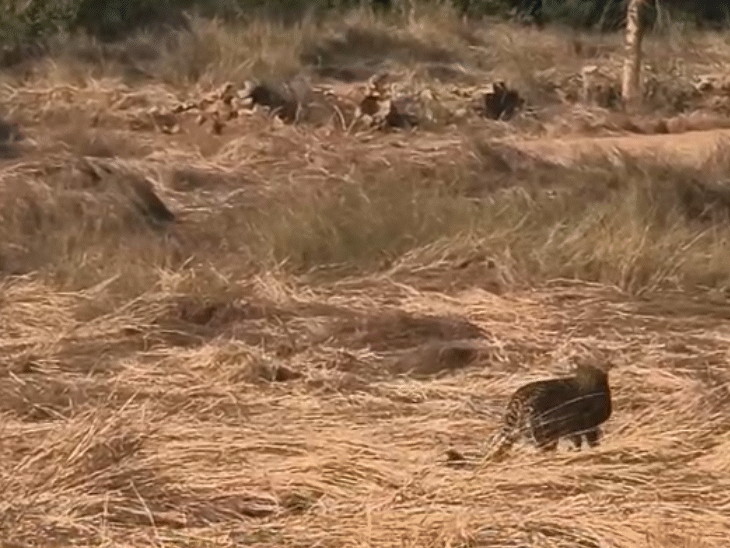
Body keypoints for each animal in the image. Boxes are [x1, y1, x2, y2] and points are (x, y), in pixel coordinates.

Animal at [484, 361, 613, 462]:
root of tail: (519, 394)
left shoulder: (576, 428)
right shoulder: (584, 426)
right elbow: (587, 441)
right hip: (543, 430)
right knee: (544, 446)